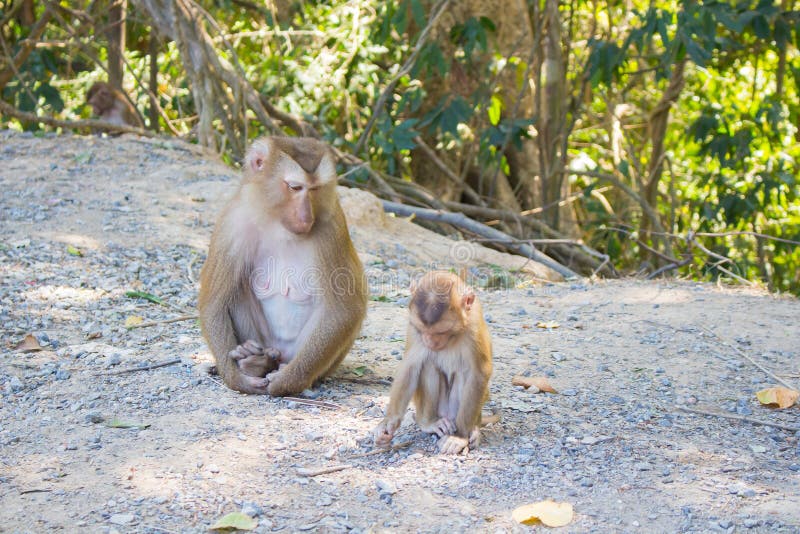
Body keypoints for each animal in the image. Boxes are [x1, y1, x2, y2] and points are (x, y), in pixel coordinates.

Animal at [198, 136, 367, 396]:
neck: (278, 222)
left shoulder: (332, 229)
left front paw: (286, 382)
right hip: (264, 341)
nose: (306, 218)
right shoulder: (232, 222)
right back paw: (254, 361)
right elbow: (215, 301)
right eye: (295, 187)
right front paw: (237, 378)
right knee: (236, 291)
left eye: (315, 189)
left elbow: (344, 309)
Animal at [373, 271, 493, 454]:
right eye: (424, 330)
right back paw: (429, 422)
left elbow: (479, 373)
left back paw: (472, 430)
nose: (430, 342)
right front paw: (388, 422)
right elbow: (410, 367)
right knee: (428, 365)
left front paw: (459, 437)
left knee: (465, 374)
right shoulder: (413, 326)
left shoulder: (473, 325)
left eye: (442, 332)